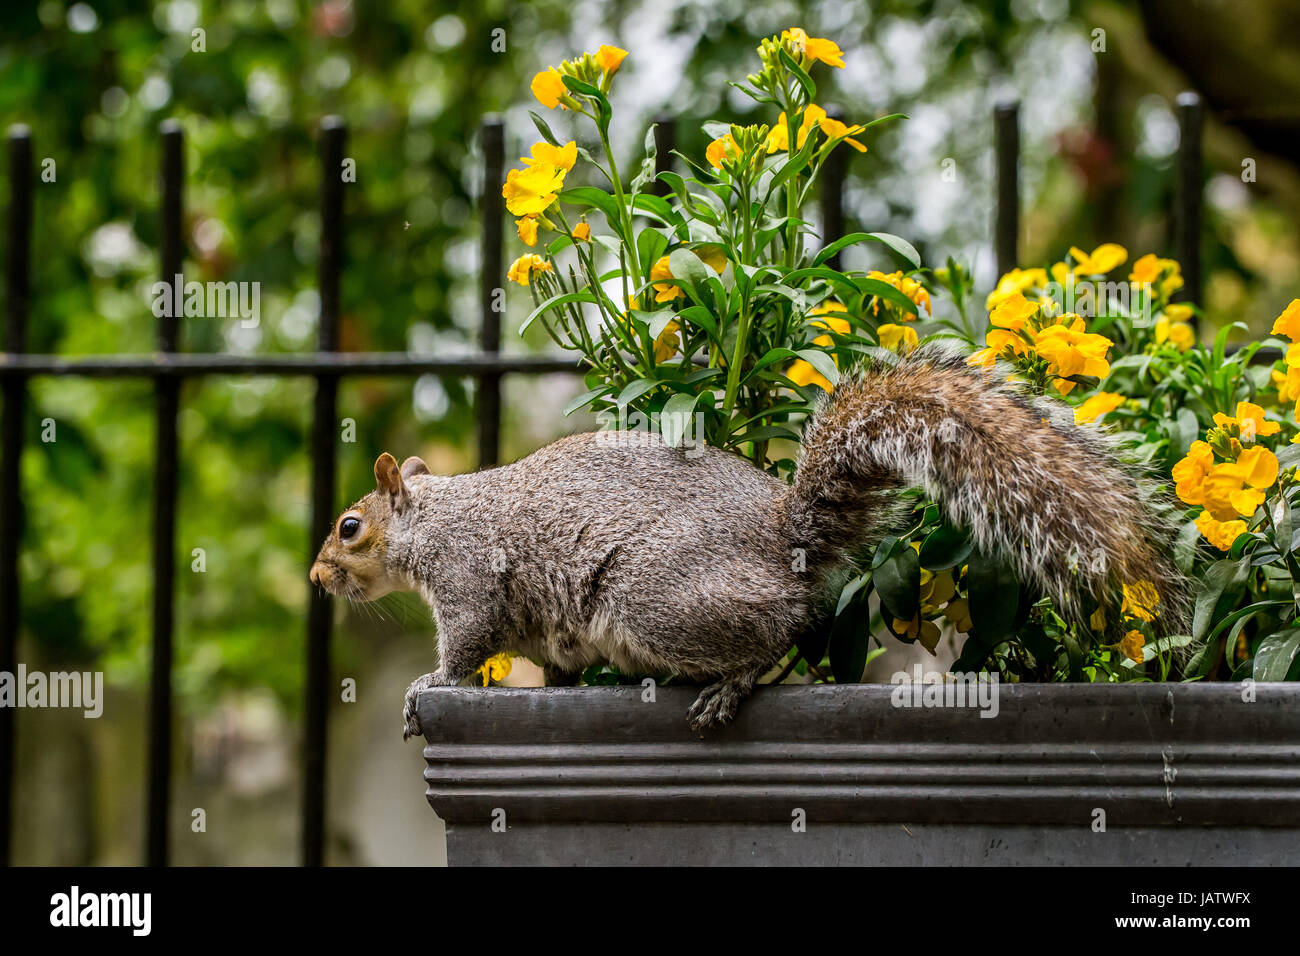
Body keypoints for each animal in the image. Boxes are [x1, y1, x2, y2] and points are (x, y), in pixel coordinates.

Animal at [309, 346, 1183, 738]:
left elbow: (463, 645)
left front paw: (427, 688)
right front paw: (551, 693)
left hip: (656, 597)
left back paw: (730, 686)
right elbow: (554, 666)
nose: (318, 578)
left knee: (779, 631)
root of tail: (782, 536)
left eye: (350, 527)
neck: (431, 521)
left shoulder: (469, 579)